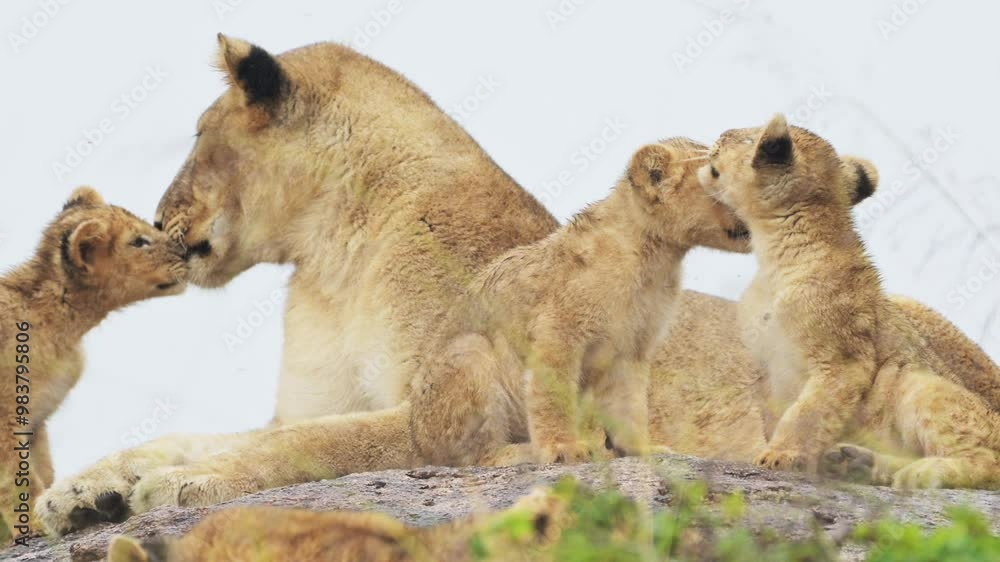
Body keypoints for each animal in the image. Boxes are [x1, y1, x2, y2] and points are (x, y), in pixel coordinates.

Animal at [0, 187, 186, 542]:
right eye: (138, 241)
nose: (187, 252)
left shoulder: (36, 421)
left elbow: (43, 470)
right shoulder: (4, 420)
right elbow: (17, 478)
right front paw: (34, 526)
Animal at [699, 114, 1000, 488]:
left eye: (749, 138)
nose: (719, 134)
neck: (775, 255)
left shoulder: (843, 359)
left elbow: (807, 413)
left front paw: (780, 456)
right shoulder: (764, 366)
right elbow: (772, 415)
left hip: (917, 382)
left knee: (989, 462)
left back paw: (922, 472)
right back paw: (855, 462)